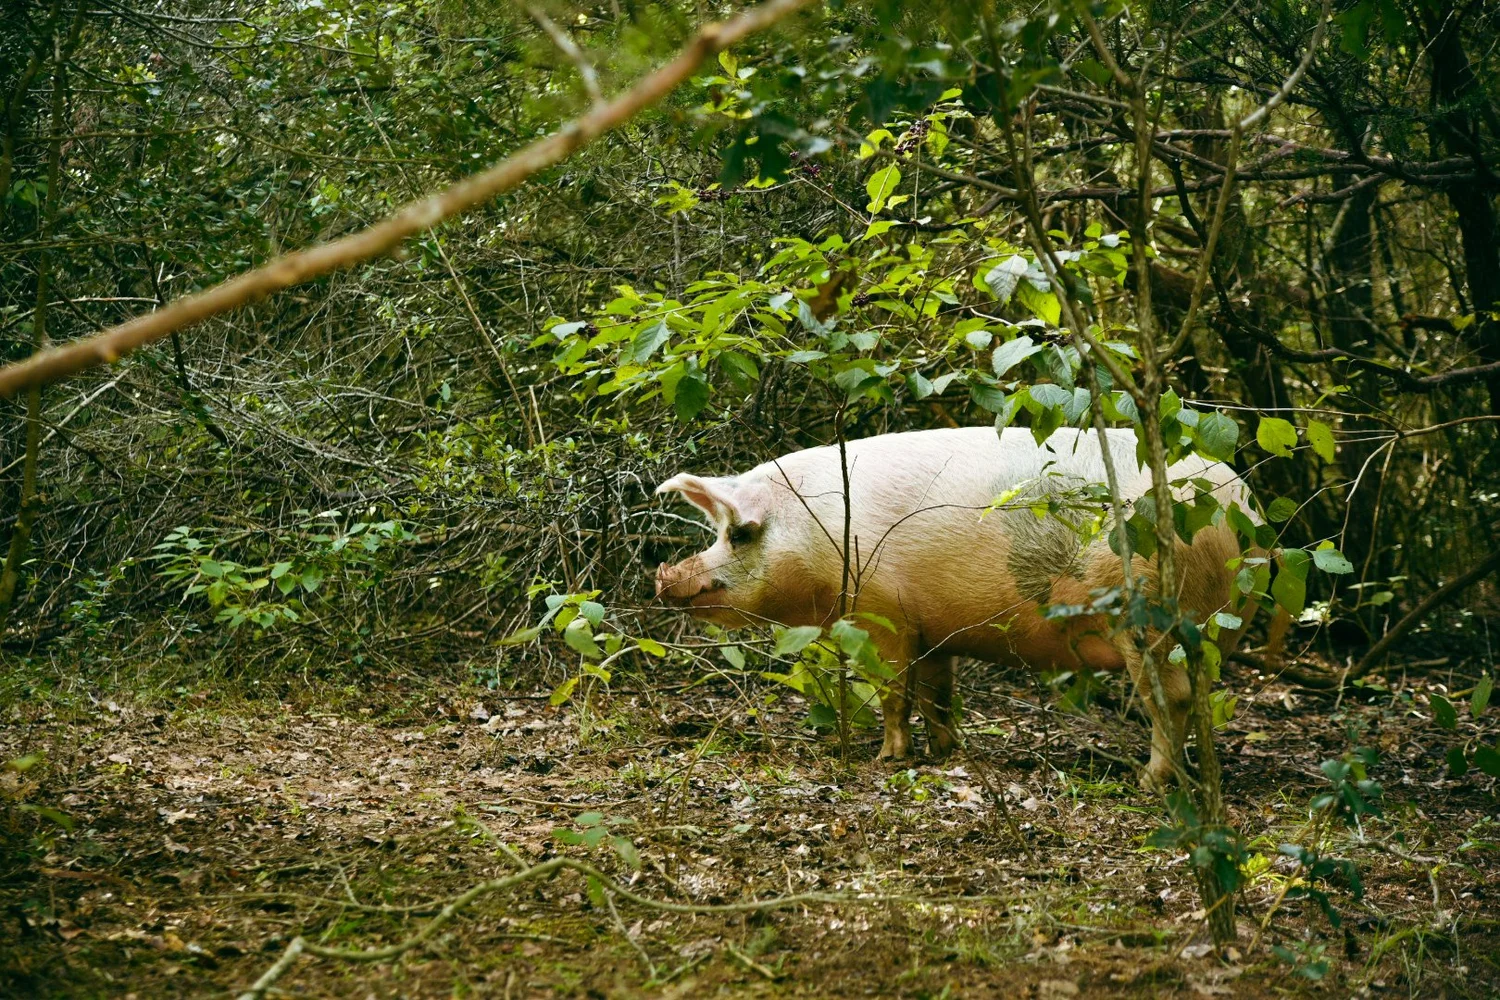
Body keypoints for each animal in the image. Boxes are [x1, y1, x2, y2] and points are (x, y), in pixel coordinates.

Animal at [654, 425, 1273, 786]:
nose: (665, 578)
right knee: (1200, 695)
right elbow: (938, 693)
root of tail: (1239, 509)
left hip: (1147, 615)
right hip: (1207, 629)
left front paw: (888, 759)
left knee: (1172, 697)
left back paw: (1151, 781)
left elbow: (894, 691)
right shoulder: (933, 628)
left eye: (740, 535)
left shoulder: (886, 613)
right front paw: (945, 752)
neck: (816, 528)